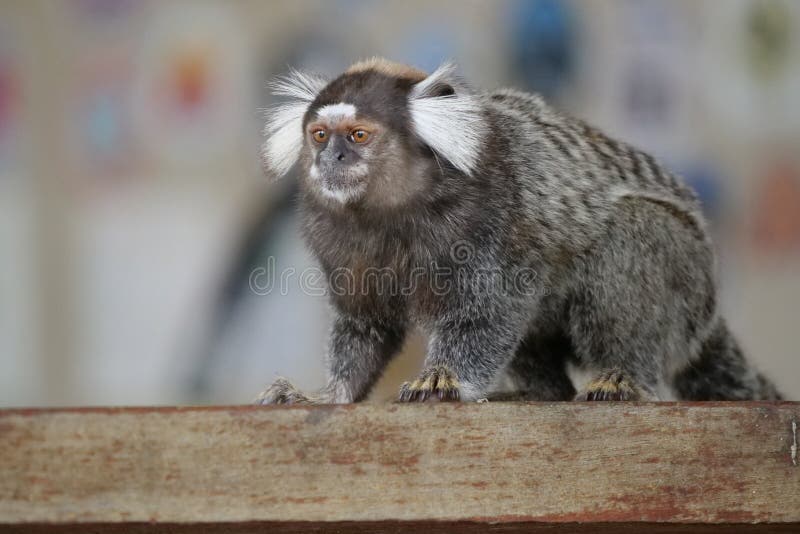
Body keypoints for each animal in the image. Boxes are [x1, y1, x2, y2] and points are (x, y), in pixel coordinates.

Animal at [254, 58, 782, 404]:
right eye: (320, 135)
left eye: (358, 135)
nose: (331, 158)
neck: (392, 212)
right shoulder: (335, 239)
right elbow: (364, 325)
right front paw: (328, 394)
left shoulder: (491, 217)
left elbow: (493, 308)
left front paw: (446, 379)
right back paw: (539, 393)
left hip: (686, 271)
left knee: (631, 231)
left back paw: (625, 378)